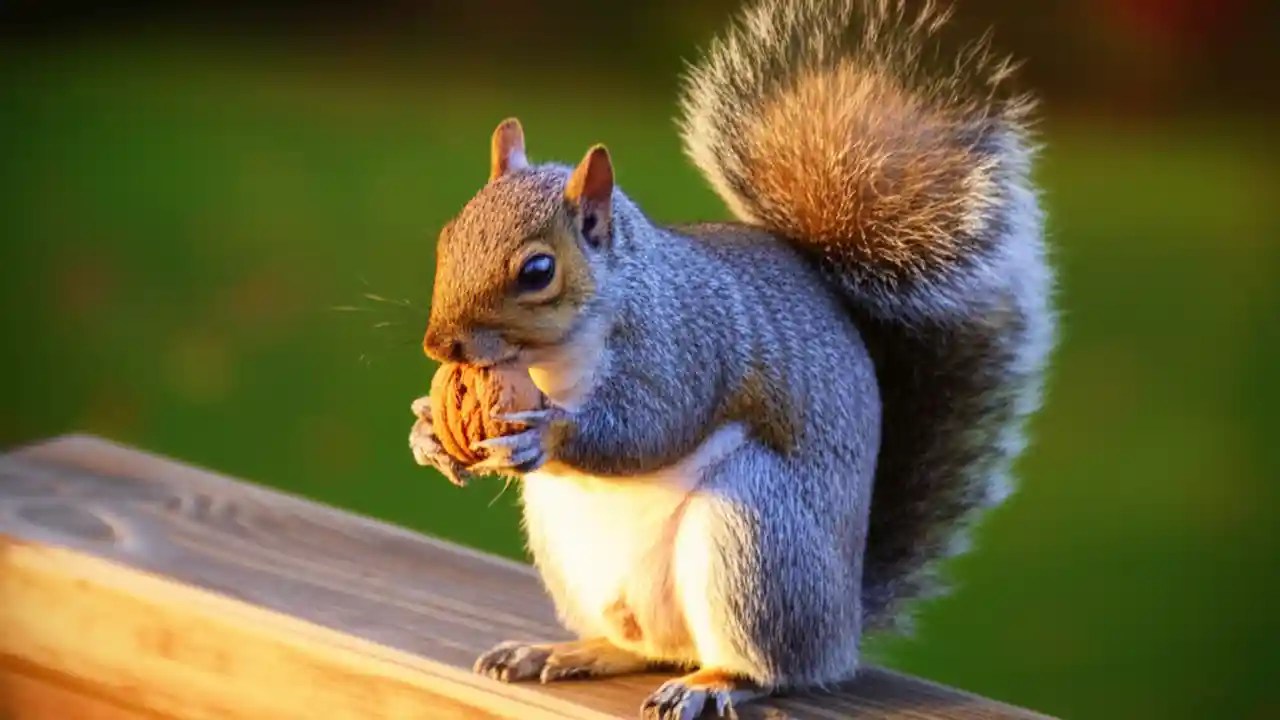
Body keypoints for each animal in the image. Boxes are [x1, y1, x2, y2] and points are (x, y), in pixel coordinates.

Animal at [408, 0, 1055, 717]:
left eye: (537, 271)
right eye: (449, 235)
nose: (437, 345)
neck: (553, 360)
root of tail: (843, 630)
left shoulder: (687, 344)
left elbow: (651, 427)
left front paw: (548, 433)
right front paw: (427, 430)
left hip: (754, 535)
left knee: (762, 666)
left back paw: (709, 684)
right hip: (572, 550)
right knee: (641, 646)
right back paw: (567, 651)